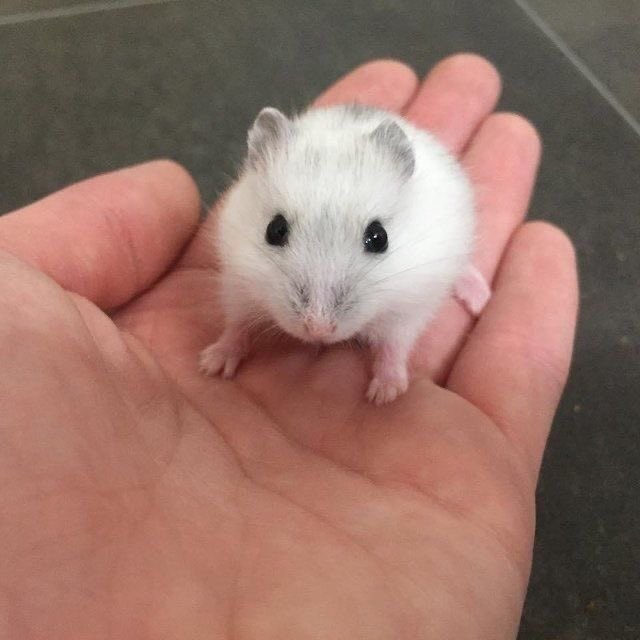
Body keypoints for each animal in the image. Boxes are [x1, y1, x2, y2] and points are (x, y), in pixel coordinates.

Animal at [199, 104, 490, 404]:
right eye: (275, 230)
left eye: (379, 237)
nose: (319, 330)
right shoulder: (238, 282)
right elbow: (236, 325)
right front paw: (212, 365)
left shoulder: (409, 309)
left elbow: (394, 348)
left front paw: (384, 395)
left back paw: (480, 298)